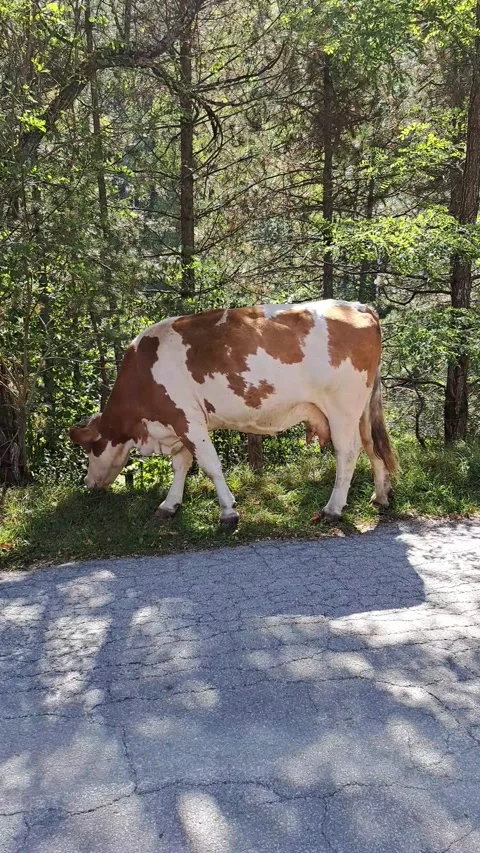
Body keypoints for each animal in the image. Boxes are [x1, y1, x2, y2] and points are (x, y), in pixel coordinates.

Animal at [69, 299, 398, 529]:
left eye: (90, 448)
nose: (87, 484)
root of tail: (356, 305)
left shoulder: (186, 420)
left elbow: (210, 465)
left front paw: (228, 512)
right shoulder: (180, 423)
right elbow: (181, 465)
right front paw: (169, 505)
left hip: (342, 407)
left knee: (348, 452)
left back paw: (332, 509)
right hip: (361, 409)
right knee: (372, 446)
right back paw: (380, 497)